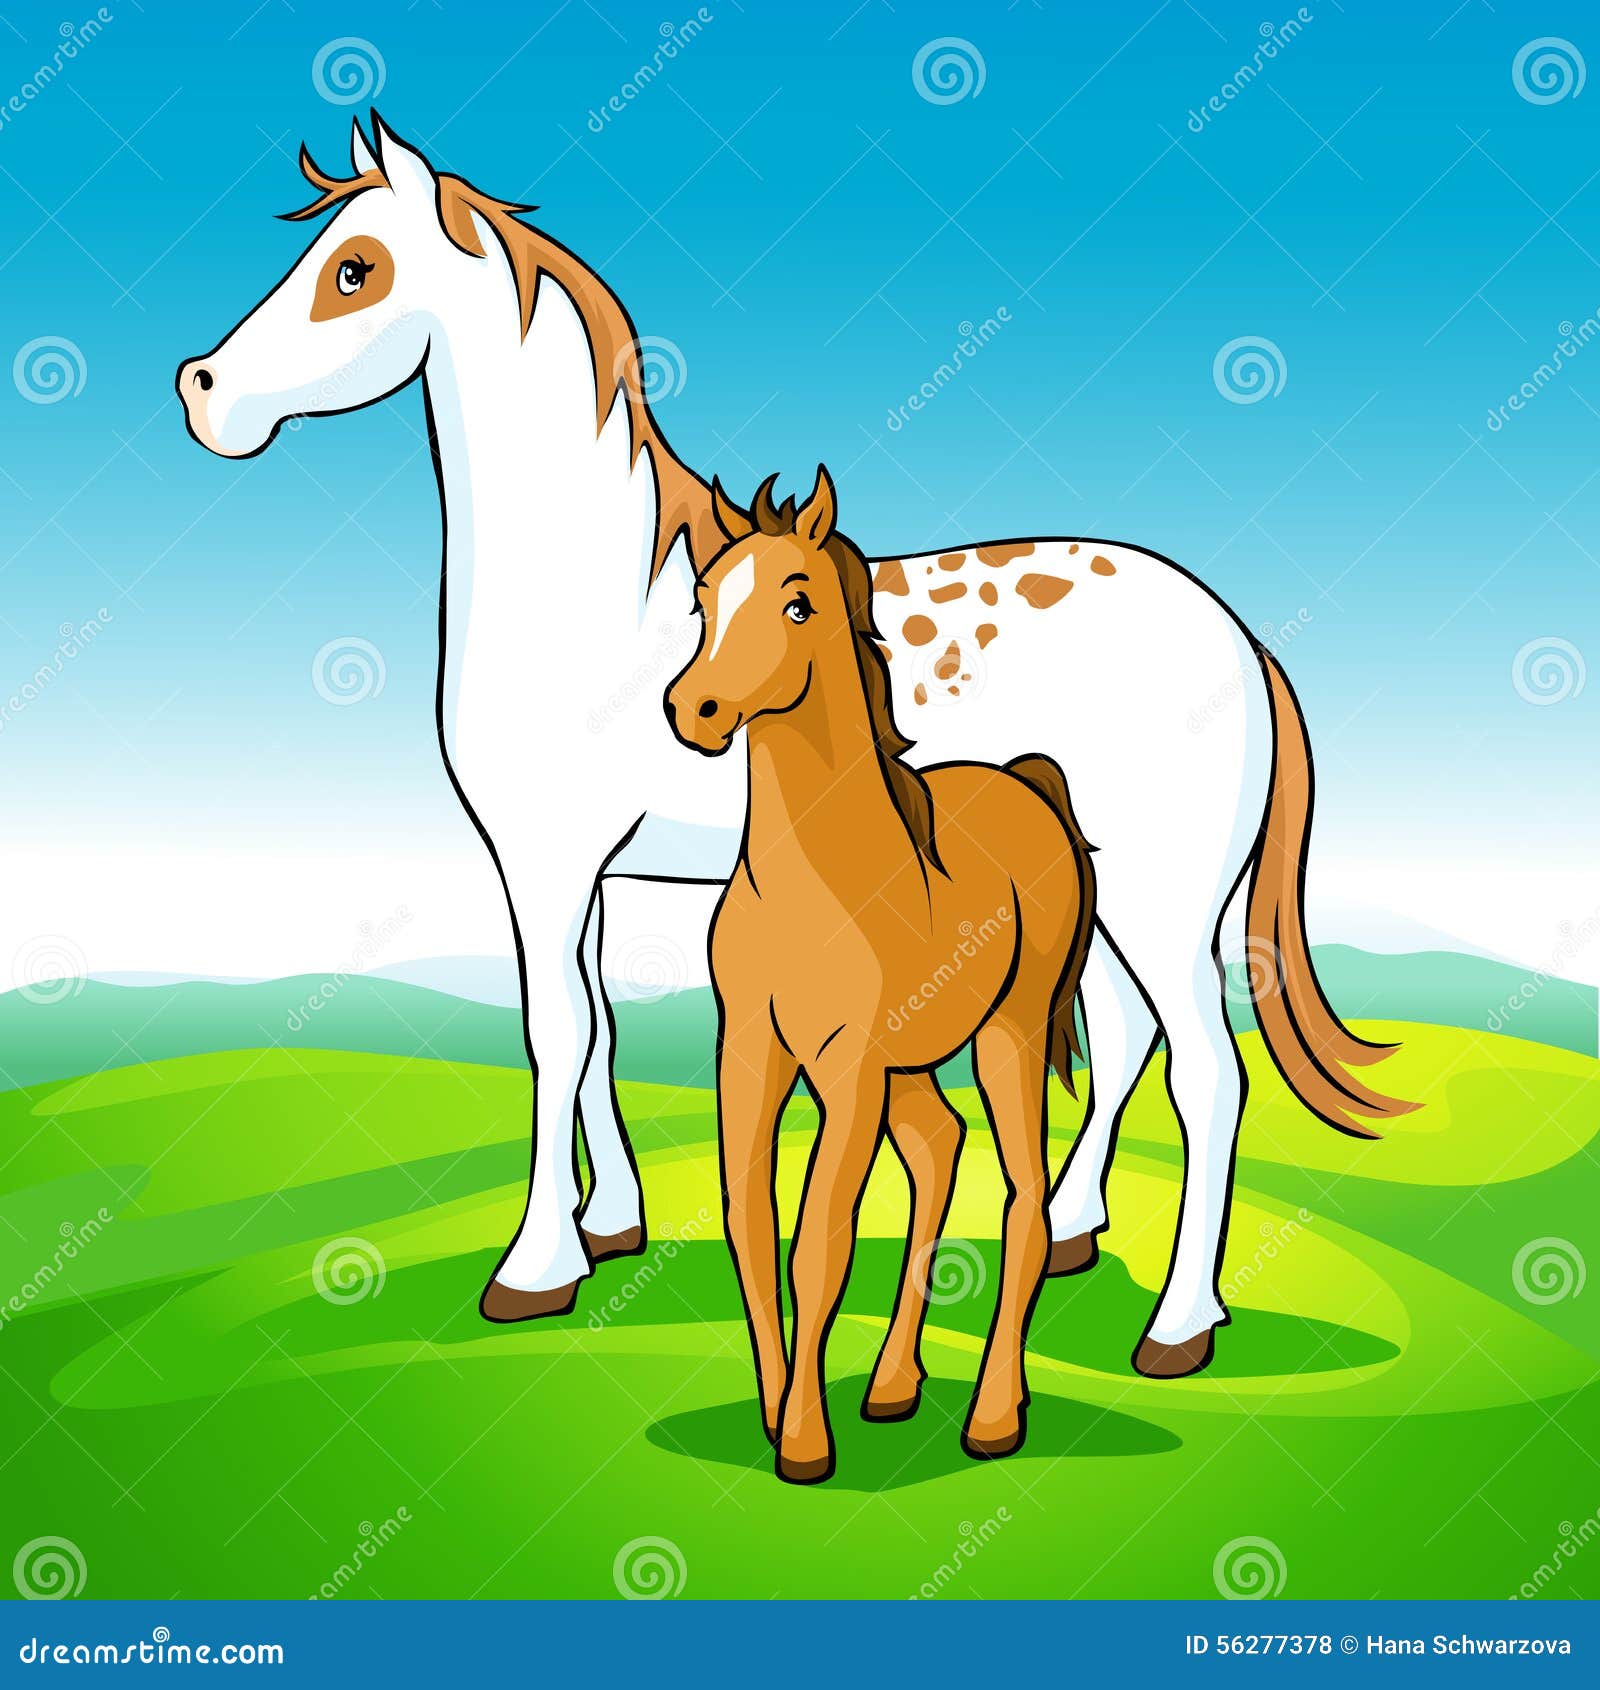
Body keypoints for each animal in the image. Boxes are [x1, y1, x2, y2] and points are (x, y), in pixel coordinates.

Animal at [175, 114, 1412, 1379]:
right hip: (1104, 892)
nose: (201, 390)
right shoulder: (590, 873)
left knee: (1208, 1075)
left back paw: (1179, 1324)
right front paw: (609, 1223)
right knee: (1122, 1043)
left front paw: (533, 1269)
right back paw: (1070, 1231)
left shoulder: (546, 862)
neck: (597, 597)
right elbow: (598, 1029)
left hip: (1163, 895)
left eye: (354, 271)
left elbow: (553, 1035)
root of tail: (1237, 633)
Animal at [664, 466, 1097, 1482]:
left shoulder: (848, 1068)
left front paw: (803, 1445)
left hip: (1006, 1032)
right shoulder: (752, 1053)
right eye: (704, 598)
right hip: (908, 1062)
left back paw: (994, 1417)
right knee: (940, 1148)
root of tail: (1024, 781)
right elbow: (749, 1223)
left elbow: (819, 1246)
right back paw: (894, 1387)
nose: (693, 711)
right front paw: (778, 1408)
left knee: (1024, 1197)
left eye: (798, 602)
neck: (812, 880)